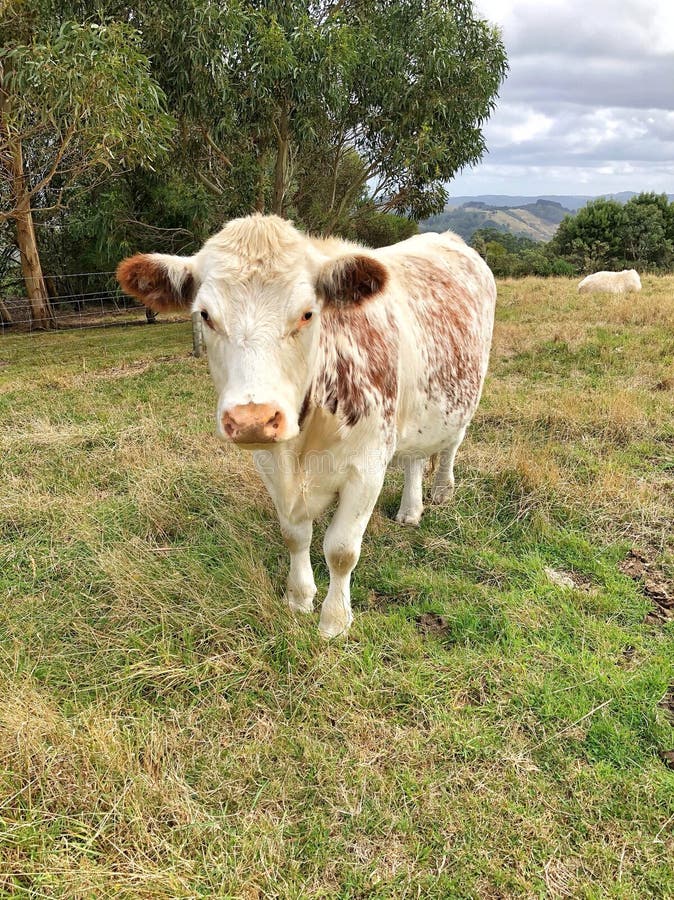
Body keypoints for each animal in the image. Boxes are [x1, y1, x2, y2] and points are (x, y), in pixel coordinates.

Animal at [117, 215, 496, 638]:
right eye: (205, 315)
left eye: (307, 313)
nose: (252, 419)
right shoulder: (270, 465)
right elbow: (295, 536)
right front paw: (299, 598)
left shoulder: (367, 467)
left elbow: (341, 550)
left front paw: (334, 620)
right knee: (414, 457)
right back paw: (410, 510)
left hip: (464, 395)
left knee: (450, 445)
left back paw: (442, 490)